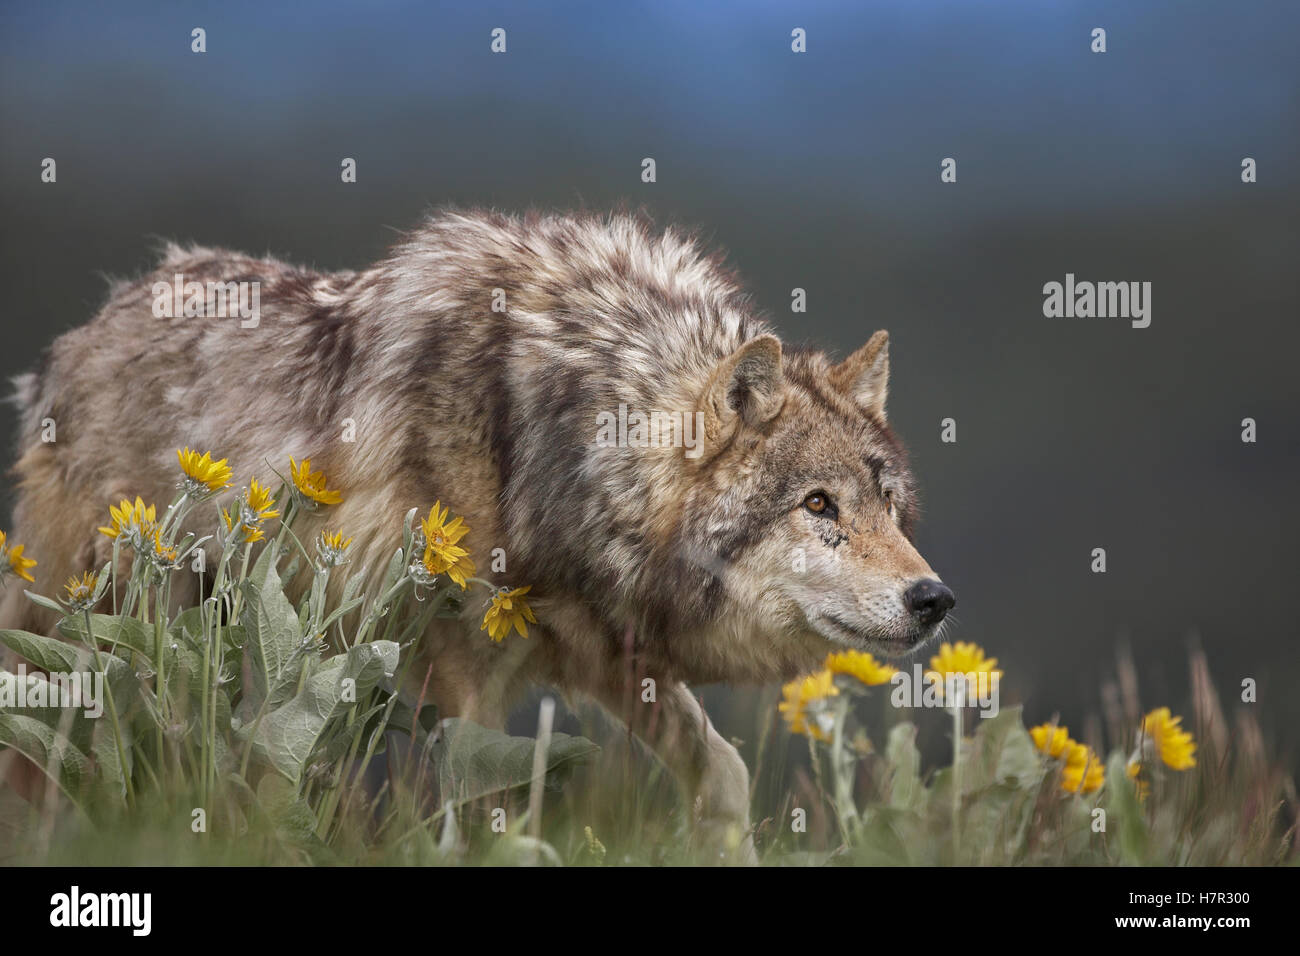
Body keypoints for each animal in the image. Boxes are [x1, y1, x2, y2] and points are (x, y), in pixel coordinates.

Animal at [2, 210, 954, 859]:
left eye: (886, 504)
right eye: (818, 506)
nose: (935, 599)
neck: (556, 440)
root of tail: (79, 335)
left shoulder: (616, 651)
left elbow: (725, 771)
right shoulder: (466, 670)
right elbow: (481, 803)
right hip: (107, 639)